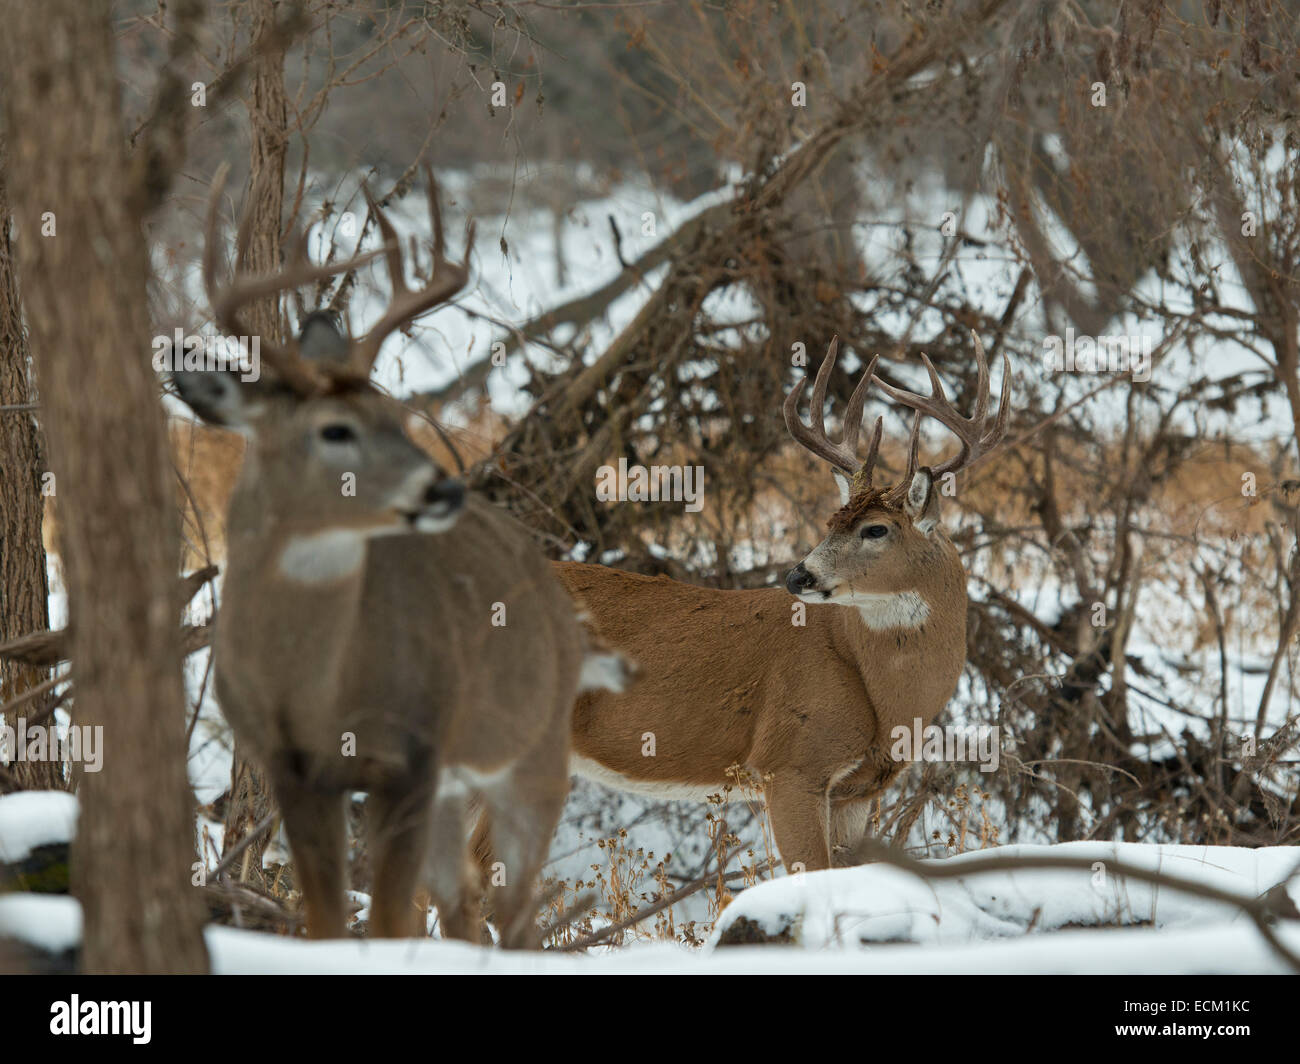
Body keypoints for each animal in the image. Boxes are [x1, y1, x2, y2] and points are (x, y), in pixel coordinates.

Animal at [171, 167, 603, 947]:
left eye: (397, 413)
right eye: (334, 429)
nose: (444, 487)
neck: (317, 686)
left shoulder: (413, 754)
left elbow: (390, 921)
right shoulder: (291, 767)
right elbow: (327, 922)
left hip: (533, 745)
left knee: (517, 909)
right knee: (466, 903)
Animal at [551, 335, 1009, 872]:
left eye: (875, 529)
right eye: (832, 522)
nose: (798, 575)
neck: (888, 701)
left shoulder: (856, 793)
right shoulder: (789, 763)